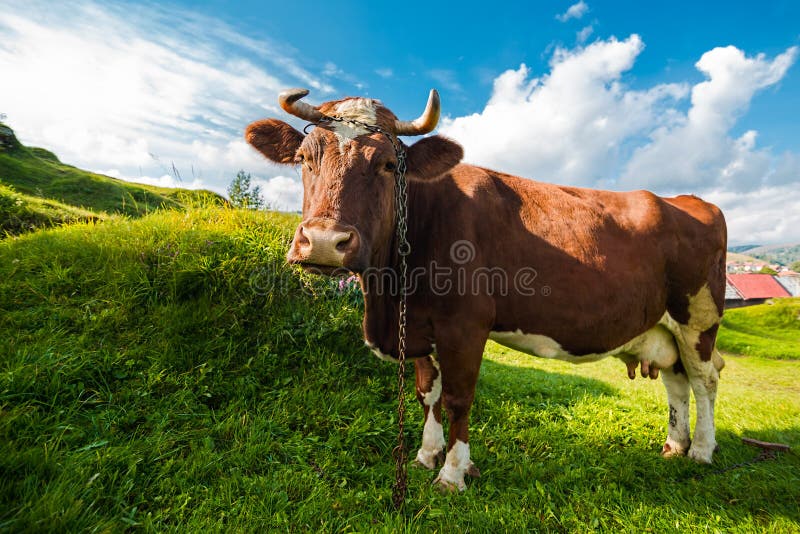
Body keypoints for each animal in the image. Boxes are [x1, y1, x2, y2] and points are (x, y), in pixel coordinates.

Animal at [245, 88, 727, 491]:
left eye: (387, 164)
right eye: (305, 158)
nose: (325, 241)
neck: (389, 291)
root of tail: (687, 201)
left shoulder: (465, 325)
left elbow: (458, 398)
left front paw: (452, 474)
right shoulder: (418, 325)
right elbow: (428, 394)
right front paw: (426, 454)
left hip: (698, 319)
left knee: (705, 379)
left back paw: (703, 450)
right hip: (664, 327)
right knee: (677, 381)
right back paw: (675, 444)